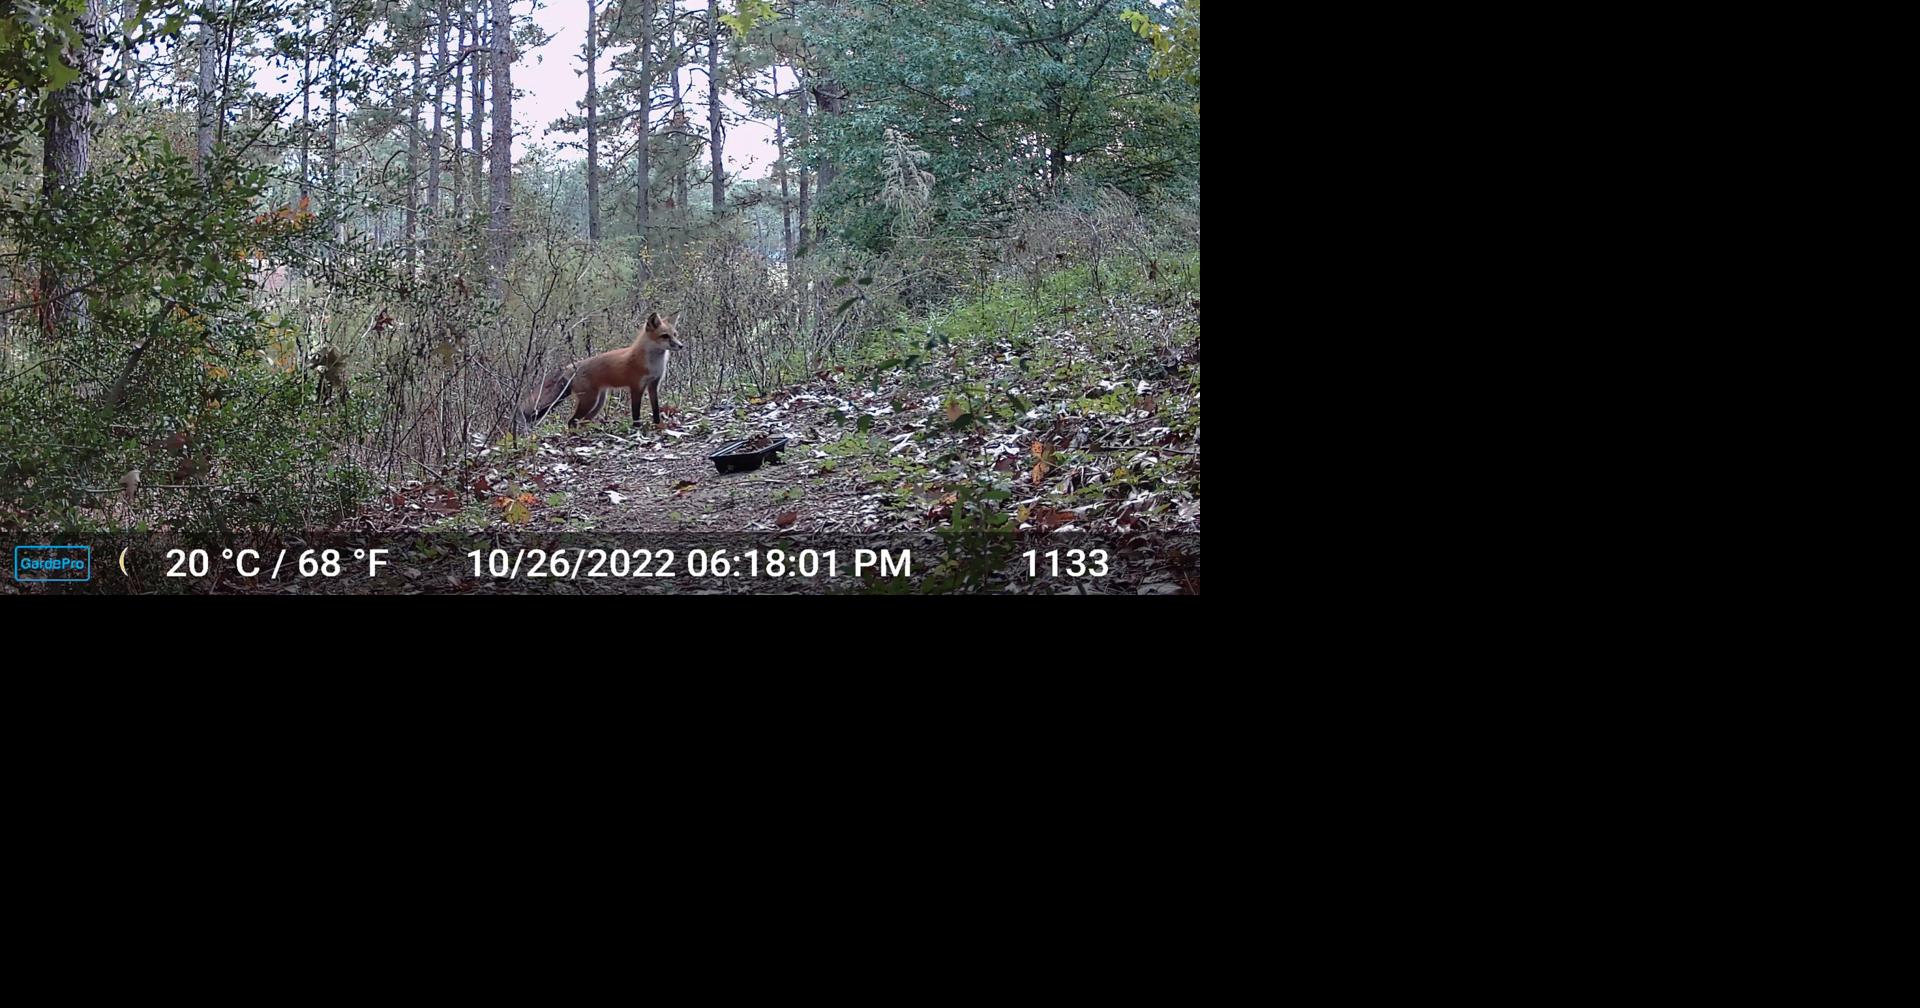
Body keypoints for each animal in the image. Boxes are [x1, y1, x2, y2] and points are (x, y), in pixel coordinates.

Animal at [521, 311, 686, 429]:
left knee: (581, 421)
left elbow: (656, 409)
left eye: (675, 334)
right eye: (665, 336)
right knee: (571, 421)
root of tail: (569, 368)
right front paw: (637, 429)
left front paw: (658, 425)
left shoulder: (653, 385)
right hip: (590, 401)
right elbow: (636, 413)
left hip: (598, 403)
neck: (653, 363)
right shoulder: (636, 387)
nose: (681, 345)